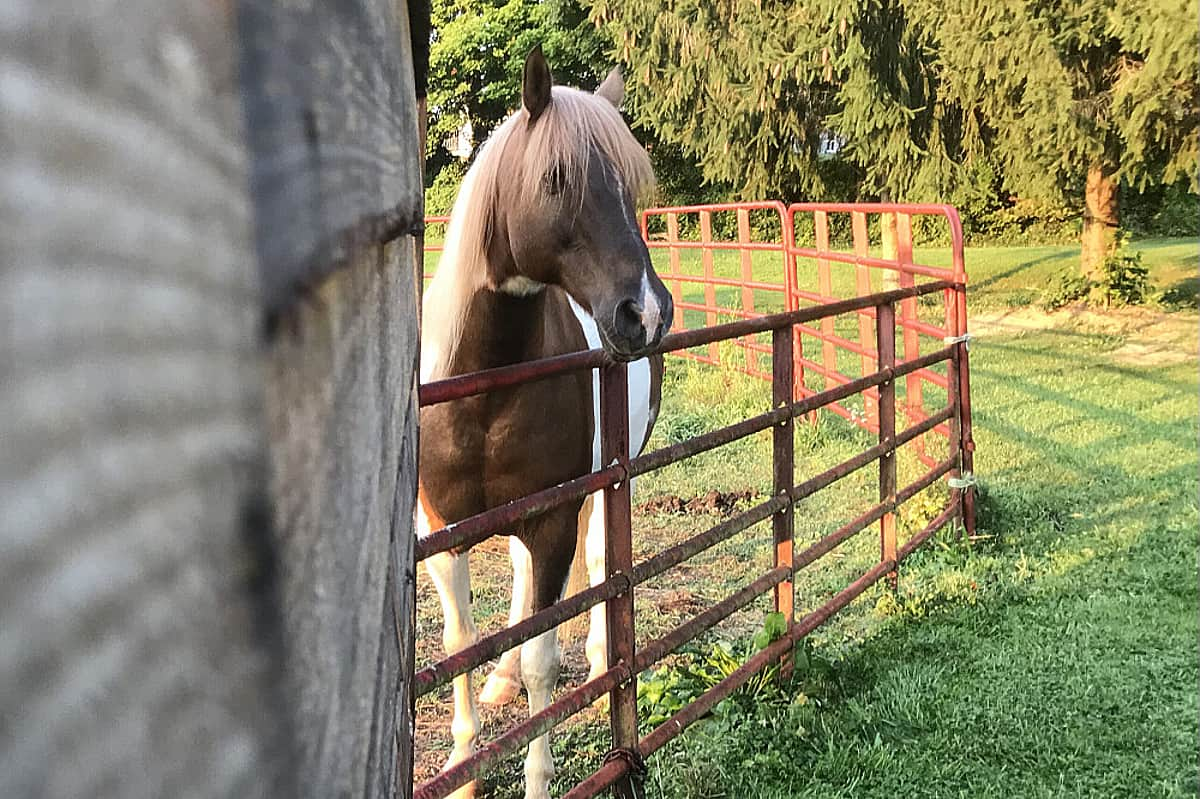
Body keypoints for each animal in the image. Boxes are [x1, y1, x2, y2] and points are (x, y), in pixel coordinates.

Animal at [417, 48, 672, 796]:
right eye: (557, 178)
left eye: (632, 185)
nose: (646, 312)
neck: (481, 386)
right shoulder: (441, 533)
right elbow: (460, 647)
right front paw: (463, 771)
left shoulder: (554, 517)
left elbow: (542, 657)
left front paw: (536, 775)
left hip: (605, 486)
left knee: (598, 563)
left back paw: (602, 658)